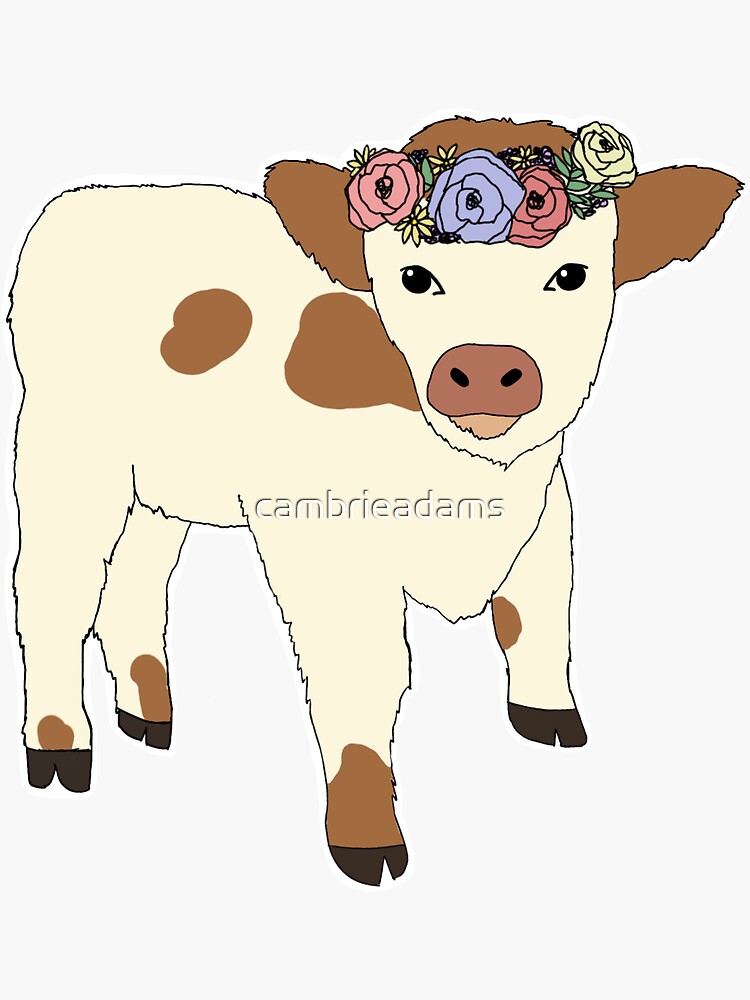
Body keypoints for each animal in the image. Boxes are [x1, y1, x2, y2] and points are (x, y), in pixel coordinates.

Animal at [8, 116, 740, 885]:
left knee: (134, 580)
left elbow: (539, 617)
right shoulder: (330, 554)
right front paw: (368, 840)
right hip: (67, 451)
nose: (484, 368)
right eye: (414, 277)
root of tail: (87, 198)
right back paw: (60, 747)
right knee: (54, 588)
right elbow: (367, 681)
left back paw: (149, 715)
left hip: (162, 486)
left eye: (572, 274)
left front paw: (549, 718)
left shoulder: (545, 515)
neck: (470, 478)